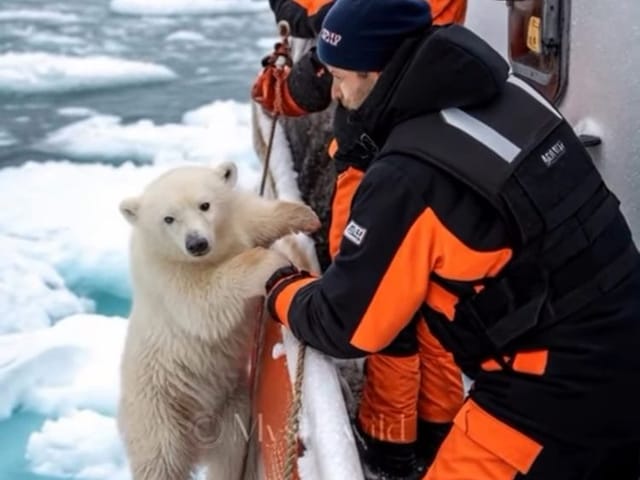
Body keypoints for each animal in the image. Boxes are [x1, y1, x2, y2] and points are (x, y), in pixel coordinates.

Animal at [116, 161, 320, 480]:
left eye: (205, 205)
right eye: (169, 219)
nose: (197, 243)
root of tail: (200, 434)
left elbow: (256, 220)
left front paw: (305, 216)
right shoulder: (169, 276)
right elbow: (206, 304)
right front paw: (268, 262)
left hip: (231, 404)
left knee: (231, 452)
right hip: (158, 411)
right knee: (162, 462)